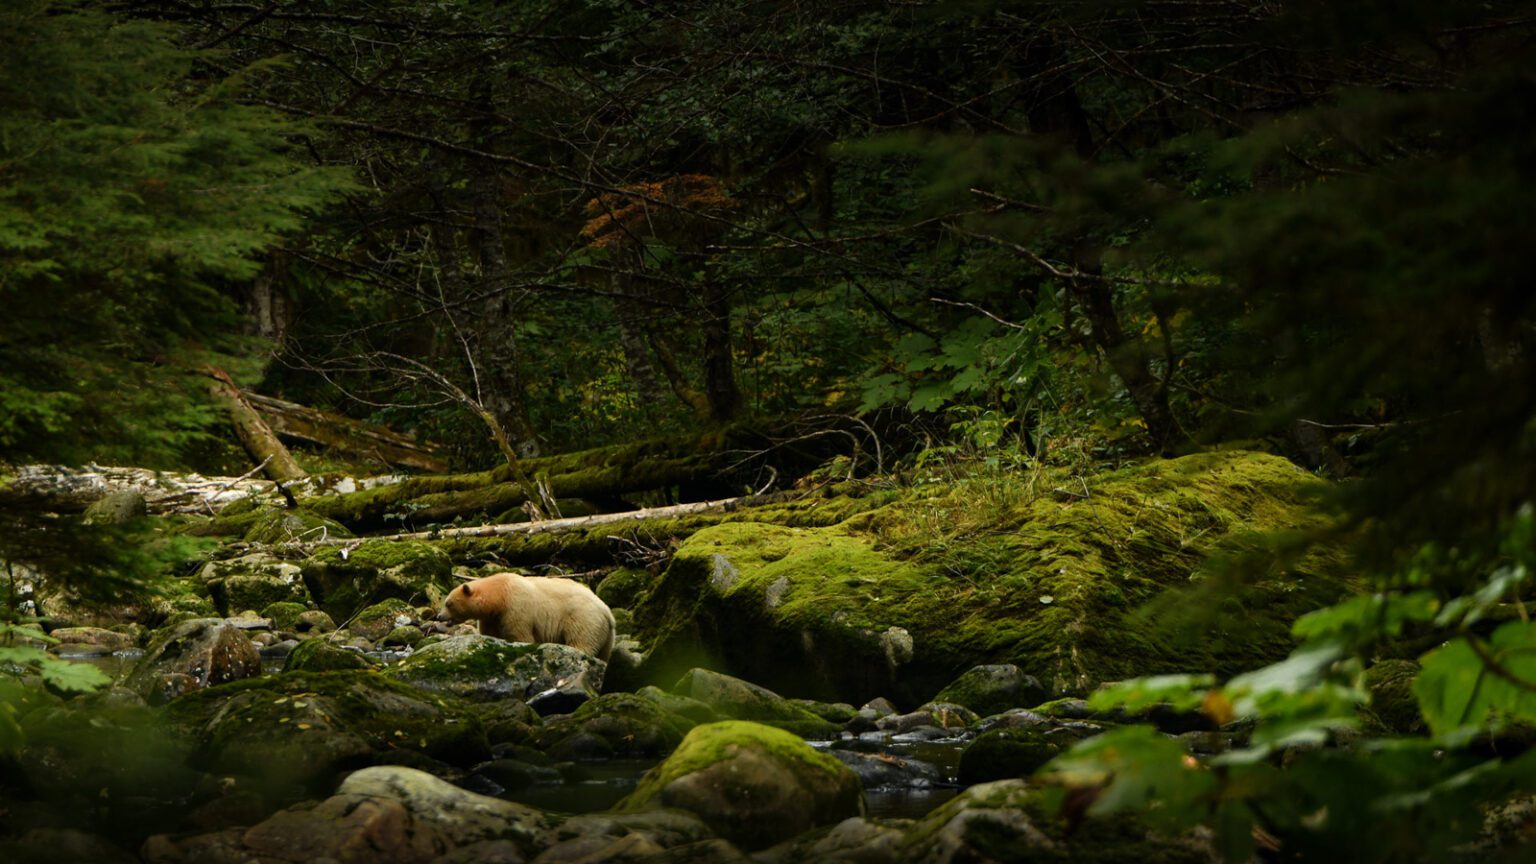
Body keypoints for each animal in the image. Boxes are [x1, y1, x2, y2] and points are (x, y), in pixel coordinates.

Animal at [438, 572, 615, 662]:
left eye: (448, 603)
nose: (439, 616)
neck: (499, 595)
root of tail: (607, 611)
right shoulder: (492, 617)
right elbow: (491, 633)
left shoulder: (516, 607)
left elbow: (520, 634)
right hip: (606, 633)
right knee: (604, 653)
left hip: (584, 619)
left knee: (582, 642)